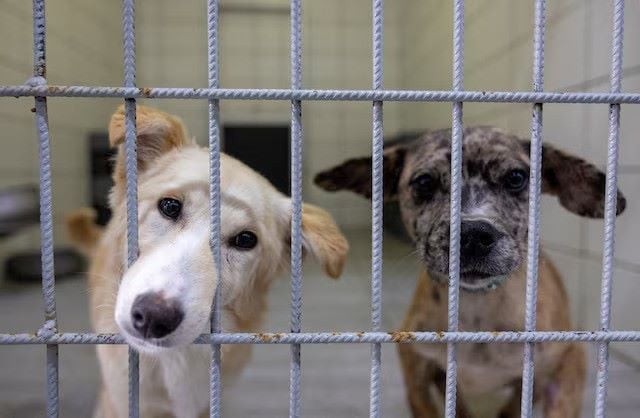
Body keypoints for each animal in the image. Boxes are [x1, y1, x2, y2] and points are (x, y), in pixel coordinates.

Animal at [316, 125, 624, 418]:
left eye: (516, 177)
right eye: (424, 182)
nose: (473, 234)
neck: (477, 308)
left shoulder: (569, 361)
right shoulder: (416, 373)